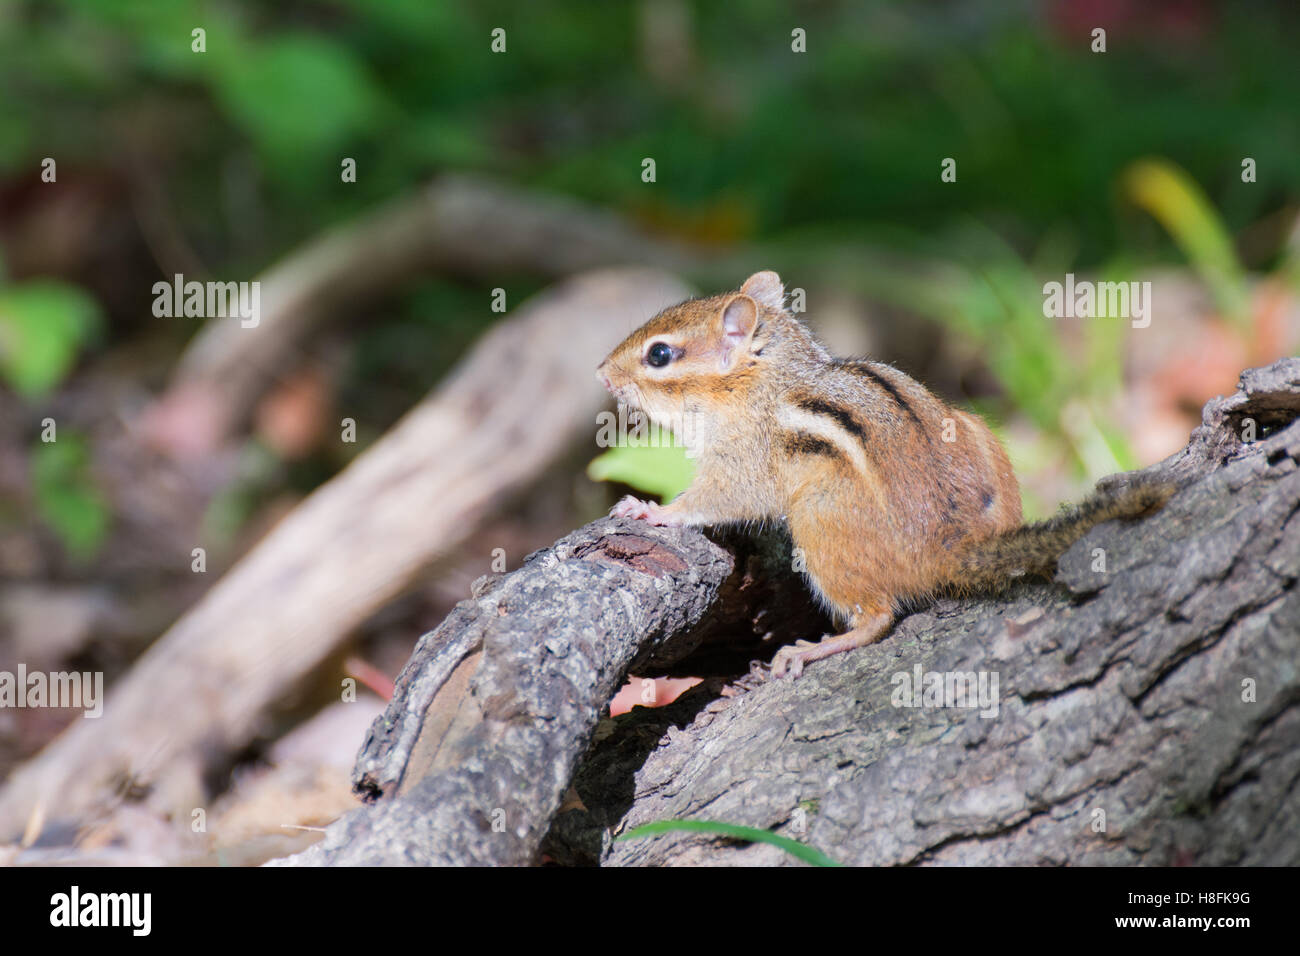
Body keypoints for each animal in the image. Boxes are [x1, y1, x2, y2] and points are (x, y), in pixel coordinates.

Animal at [596, 271, 1174, 678]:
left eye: (660, 354)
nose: (601, 372)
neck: (764, 376)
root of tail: (949, 546)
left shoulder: (743, 455)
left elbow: (717, 498)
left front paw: (654, 511)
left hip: (818, 520)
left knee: (877, 617)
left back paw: (813, 650)